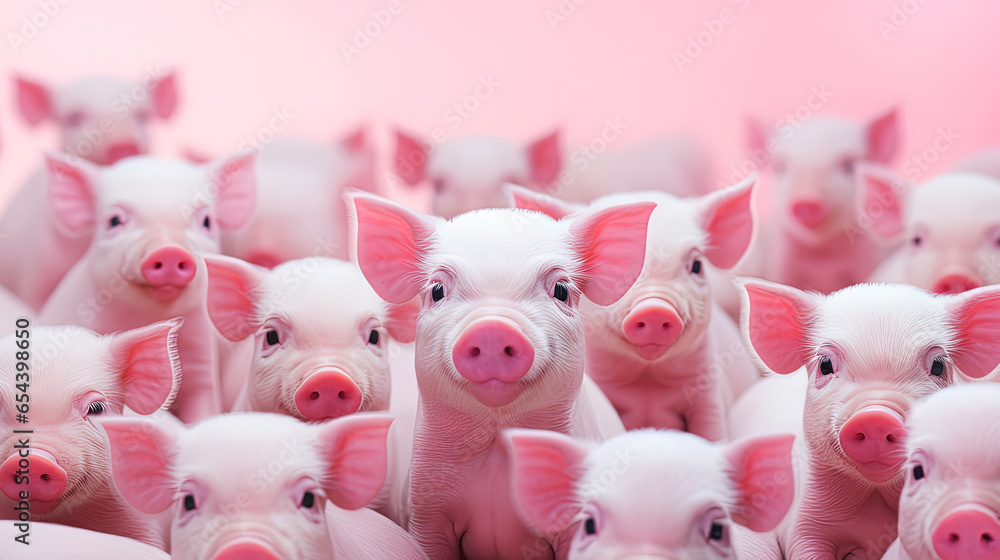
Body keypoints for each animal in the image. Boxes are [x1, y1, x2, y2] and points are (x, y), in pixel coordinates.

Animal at [38, 152, 257, 423]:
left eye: (206, 221)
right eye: (114, 221)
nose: (169, 251)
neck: (148, 315)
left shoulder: (202, 358)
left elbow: (203, 401)